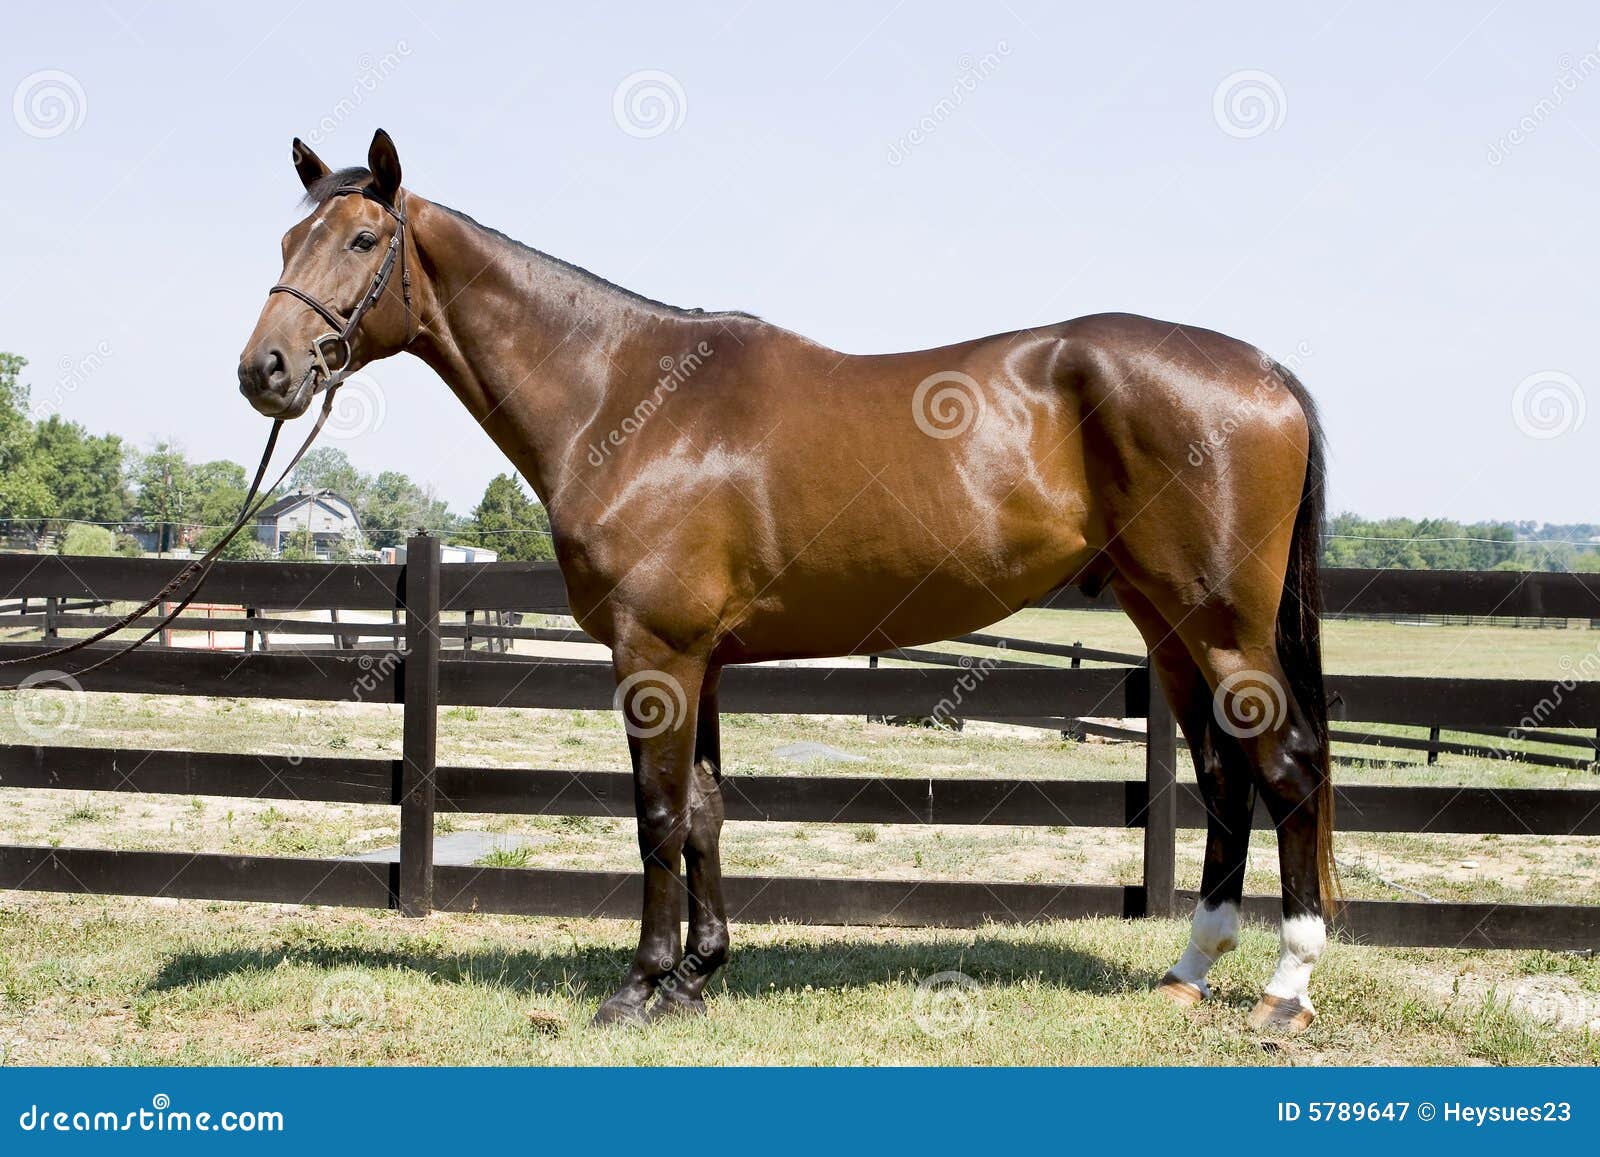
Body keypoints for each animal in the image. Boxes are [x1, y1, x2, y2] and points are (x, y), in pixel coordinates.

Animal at [238, 130, 1336, 1033]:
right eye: (287, 238)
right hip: (1167, 623)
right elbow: (706, 810)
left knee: (1288, 768)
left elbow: (657, 814)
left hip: (1222, 625)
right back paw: (1190, 969)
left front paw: (638, 986)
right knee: (1225, 777)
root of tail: (1264, 369)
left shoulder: (655, 656)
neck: (625, 397)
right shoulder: (703, 662)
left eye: (362, 238)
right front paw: (696, 976)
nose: (266, 370)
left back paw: (1284, 990)